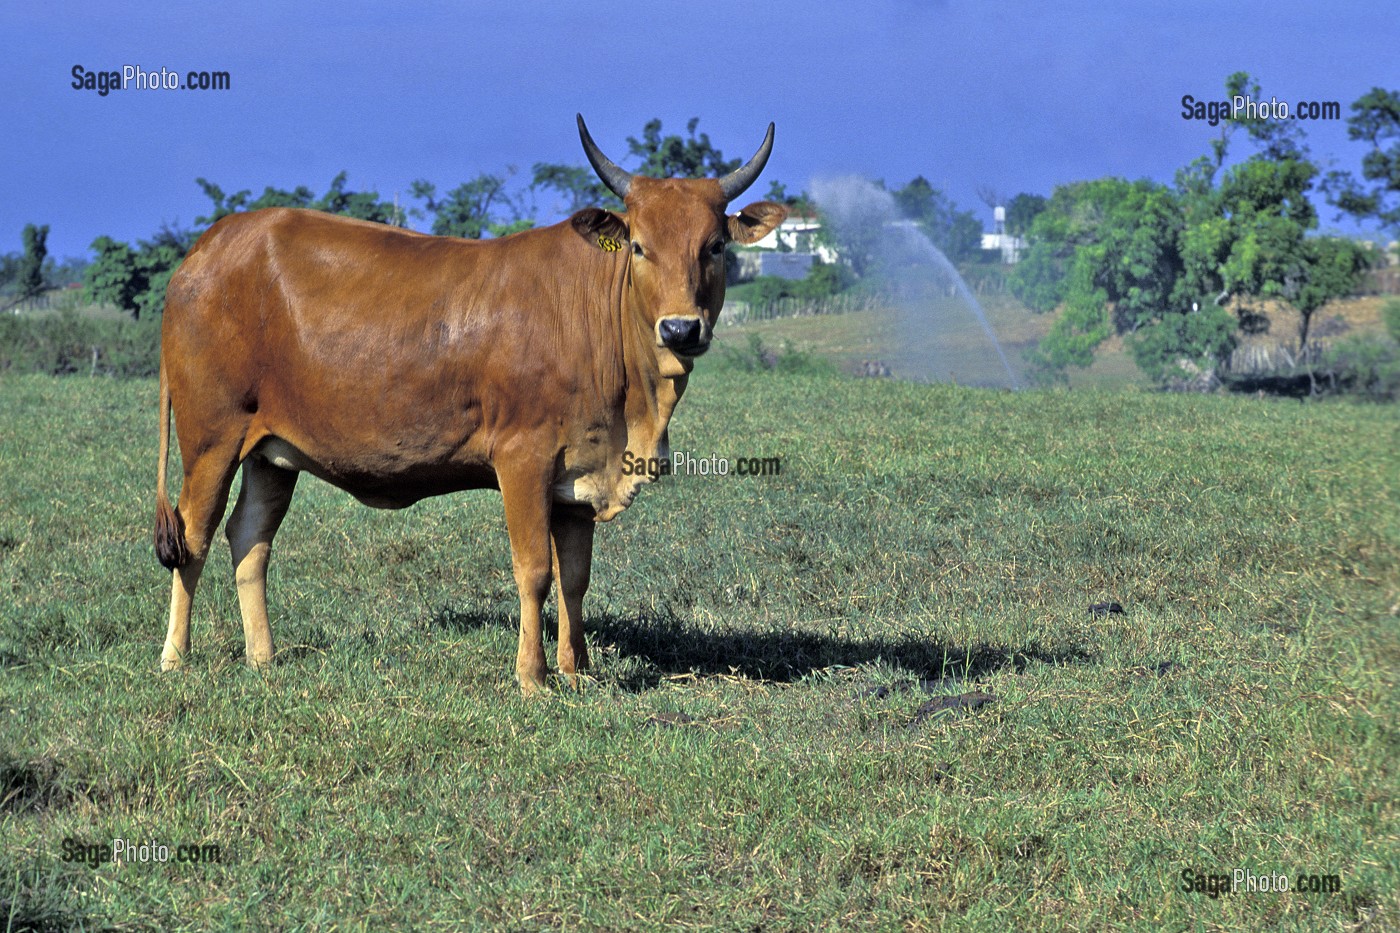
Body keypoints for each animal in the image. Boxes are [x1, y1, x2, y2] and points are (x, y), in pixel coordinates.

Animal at [153, 115, 787, 694]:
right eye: (638, 246)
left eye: (715, 246)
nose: (681, 328)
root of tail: (208, 247)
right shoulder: (523, 460)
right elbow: (535, 571)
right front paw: (532, 677)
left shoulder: (579, 477)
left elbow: (575, 577)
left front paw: (576, 670)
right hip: (211, 438)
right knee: (193, 536)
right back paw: (175, 658)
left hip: (271, 454)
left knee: (249, 539)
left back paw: (263, 658)